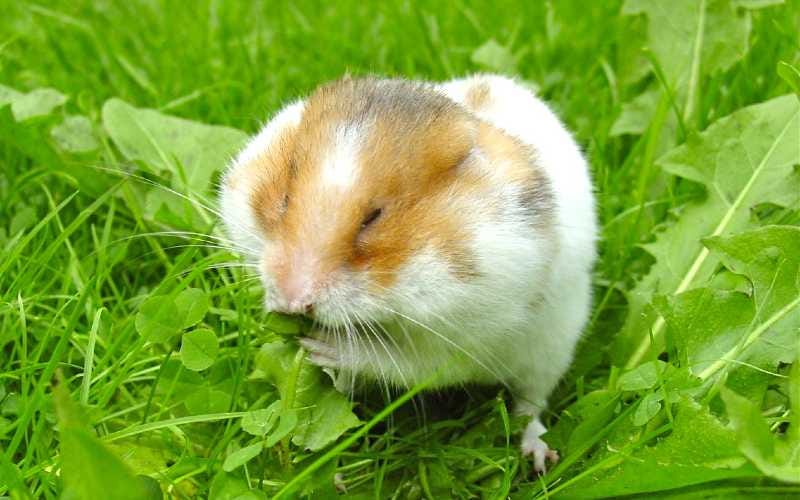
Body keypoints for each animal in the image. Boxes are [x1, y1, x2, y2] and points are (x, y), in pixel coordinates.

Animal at [219, 74, 597, 473]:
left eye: (374, 217)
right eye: (285, 199)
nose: (292, 301)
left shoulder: (462, 338)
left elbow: (397, 361)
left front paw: (322, 347)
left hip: (552, 347)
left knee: (531, 405)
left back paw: (539, 458)